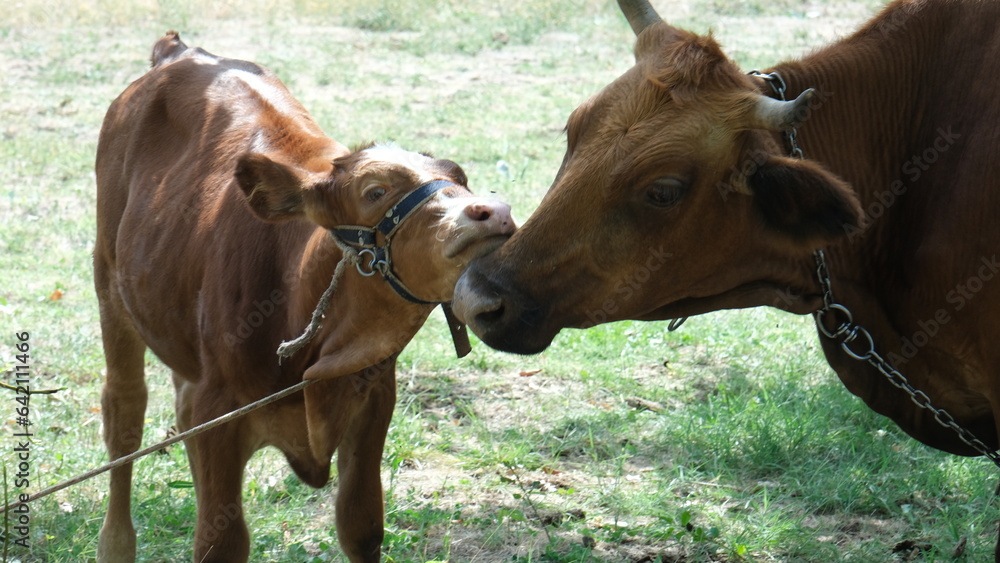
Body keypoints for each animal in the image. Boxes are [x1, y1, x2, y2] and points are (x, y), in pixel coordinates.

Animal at [94, 31, 514, 562]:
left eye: (459, 177)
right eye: (374, 191)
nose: (492, 210)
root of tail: (182, 51)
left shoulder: (373, 396)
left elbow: (360, 523)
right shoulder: (218, 410)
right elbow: (220, 540)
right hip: (109, 284)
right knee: (124, 413)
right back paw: (115, 542)